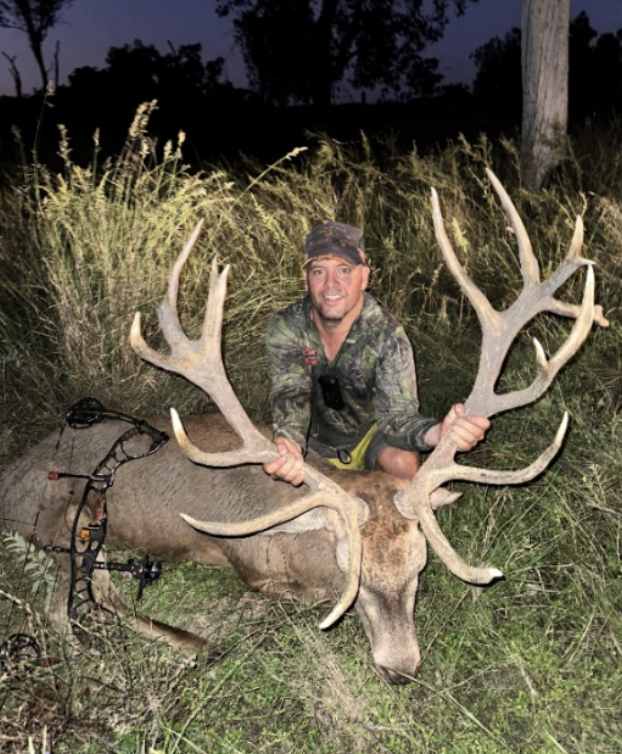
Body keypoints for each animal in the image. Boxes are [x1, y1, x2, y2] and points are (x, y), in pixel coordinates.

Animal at [0, 169, 607, 684]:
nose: (401, 669)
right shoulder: (248, 562)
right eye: (354, 577)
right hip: (56, 518)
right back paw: (186, 646)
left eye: (419, 569)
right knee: (62, 609)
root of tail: (12, 473)